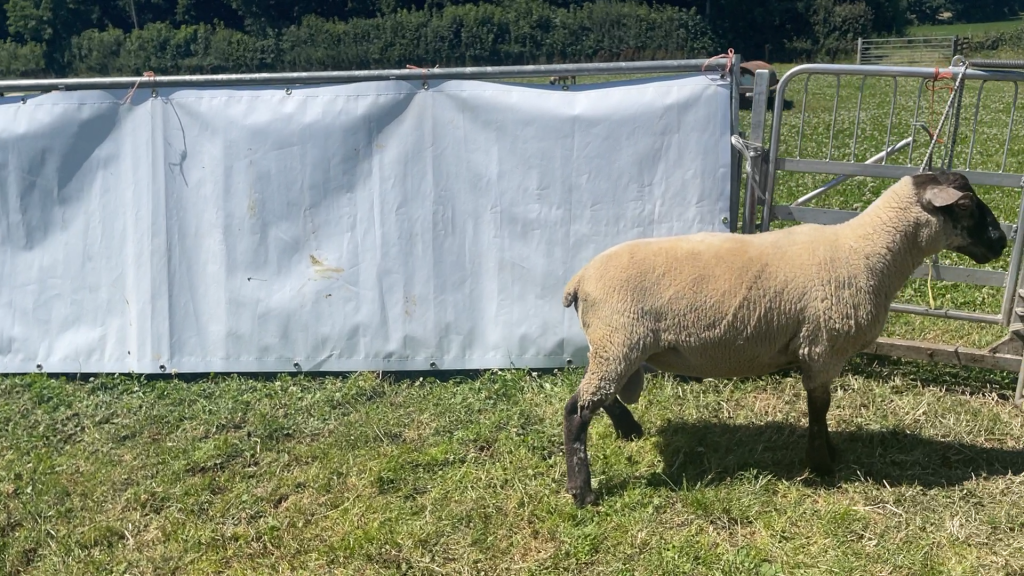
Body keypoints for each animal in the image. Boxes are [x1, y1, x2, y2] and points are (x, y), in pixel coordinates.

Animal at [560, 170, 1008, 507]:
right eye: (965, 205)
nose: (1002, 242)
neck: (867, 253)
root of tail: (580, 278)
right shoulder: (823, 347)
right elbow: (820, 407)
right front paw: (822, 464)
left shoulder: (819, 351)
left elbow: (822, 407)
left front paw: (828, 452)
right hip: (619, 339)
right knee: (577, 411)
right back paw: (583, 492)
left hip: (615, 344)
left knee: (600, 396)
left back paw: (629, 430)